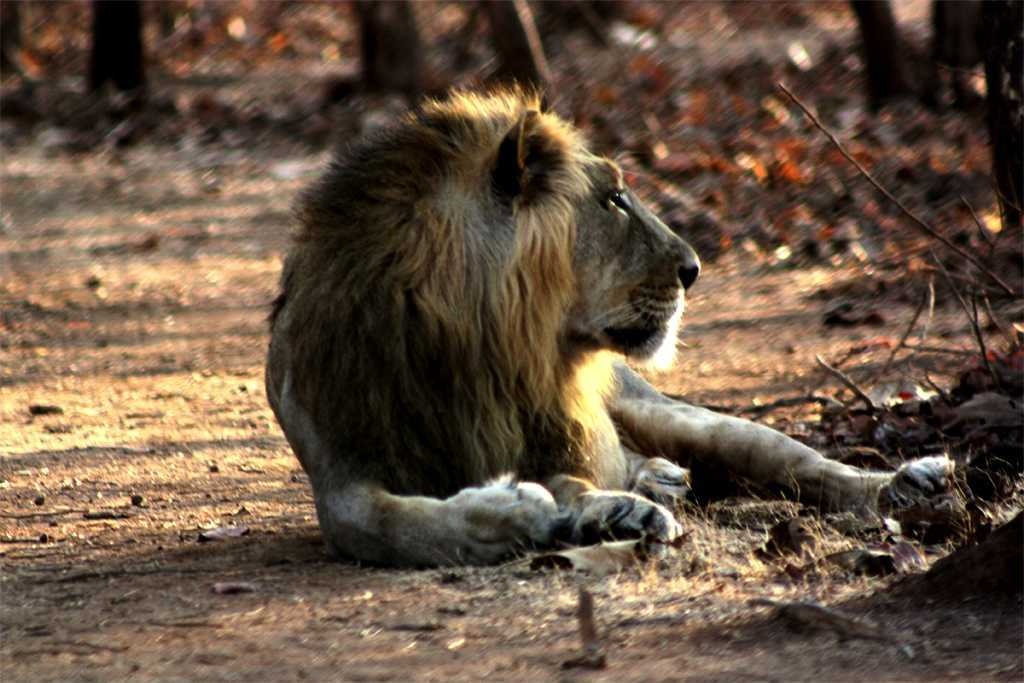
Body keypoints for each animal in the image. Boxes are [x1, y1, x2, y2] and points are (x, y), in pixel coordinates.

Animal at [265, 90, 952, 567]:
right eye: (615, 199)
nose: (694, 269)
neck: (478, 350)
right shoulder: (341, 468)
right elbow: (388, 525)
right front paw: (535, 515)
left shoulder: (547, 434)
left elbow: (570, 479)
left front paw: (605, 511)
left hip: (673, 413)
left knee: (802, 463)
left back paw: (907, 483)